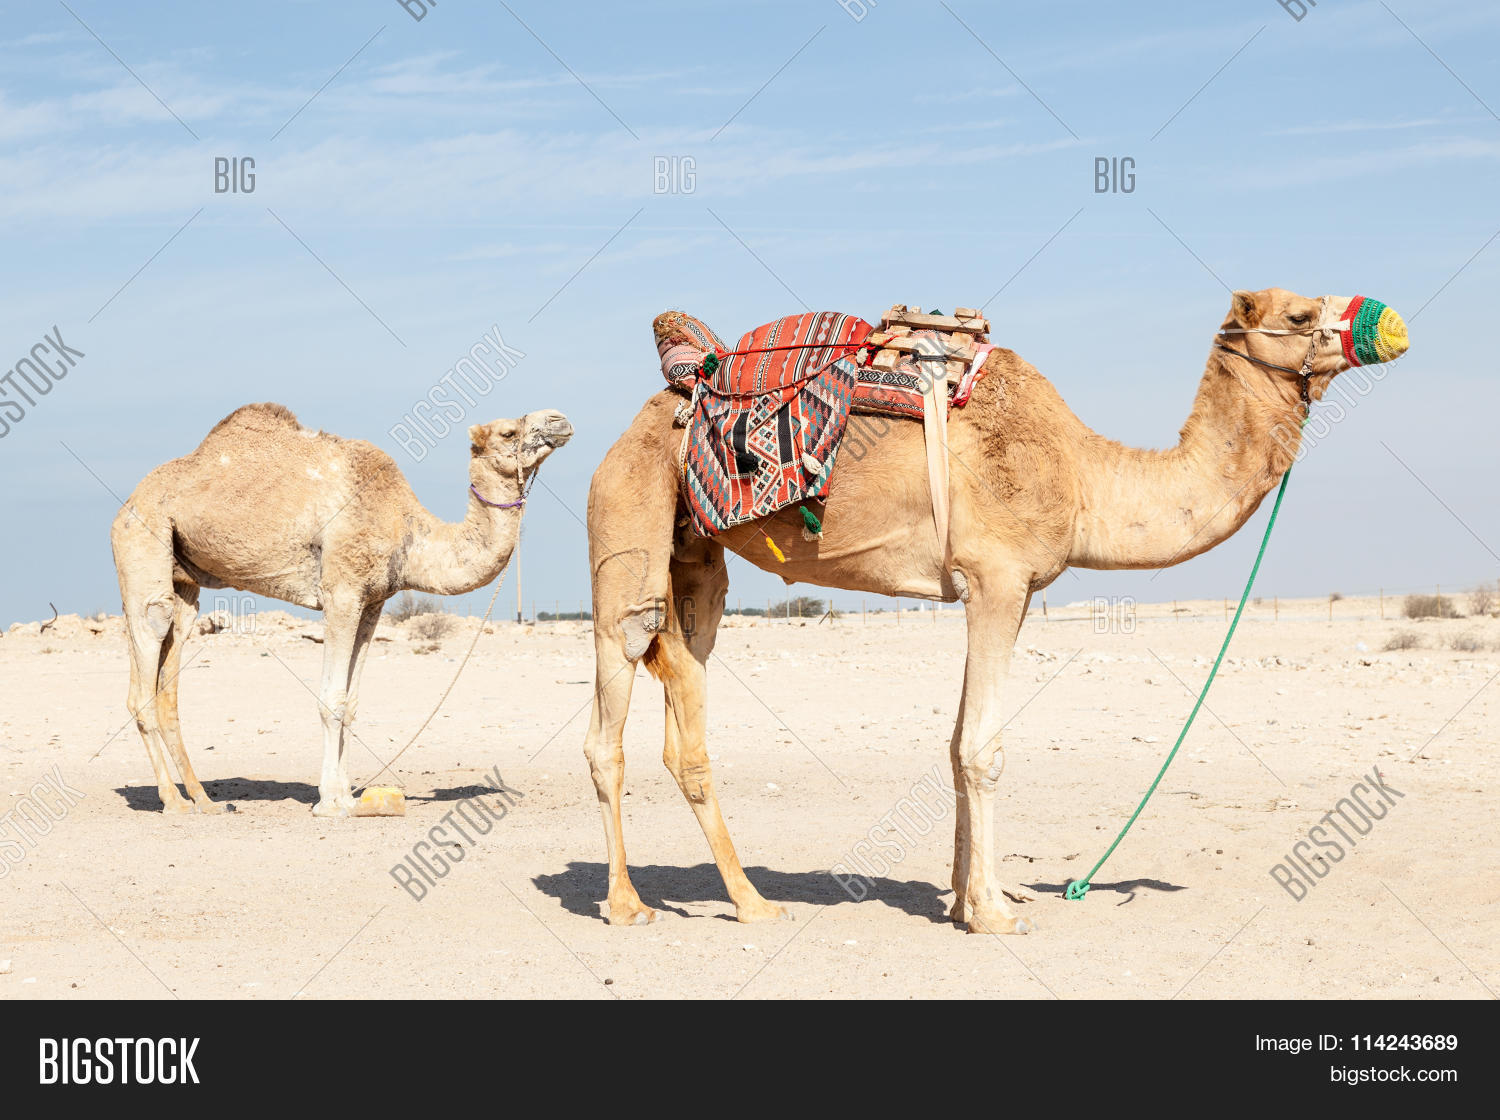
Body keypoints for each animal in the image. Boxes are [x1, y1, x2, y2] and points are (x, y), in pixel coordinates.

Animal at [111, 402, 572, 816]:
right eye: (508, 432)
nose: (560, 419)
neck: (407, 530)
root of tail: (127, 503)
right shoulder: (342, 592)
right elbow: (331, 700)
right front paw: (331, 802)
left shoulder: (373, 602)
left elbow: (350, 703)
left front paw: (347, 794)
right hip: (141, 540)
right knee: (148, 646)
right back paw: (173, 802)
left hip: (184, 580)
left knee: (173, 668)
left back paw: (204, 800)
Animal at [583, 287, 1407, 932]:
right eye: (1300, 313)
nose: (1389, 323)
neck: (1083, 475)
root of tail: (630, 429)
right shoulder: (999, 578)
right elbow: (984, 748)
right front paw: (993, 911)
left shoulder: (1005, 590)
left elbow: (956, 744)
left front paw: (961, 899)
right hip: (625, 516)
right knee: (611, 711)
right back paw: (626, 905)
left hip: (695, 557)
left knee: (686, 704)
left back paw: (751, 901)